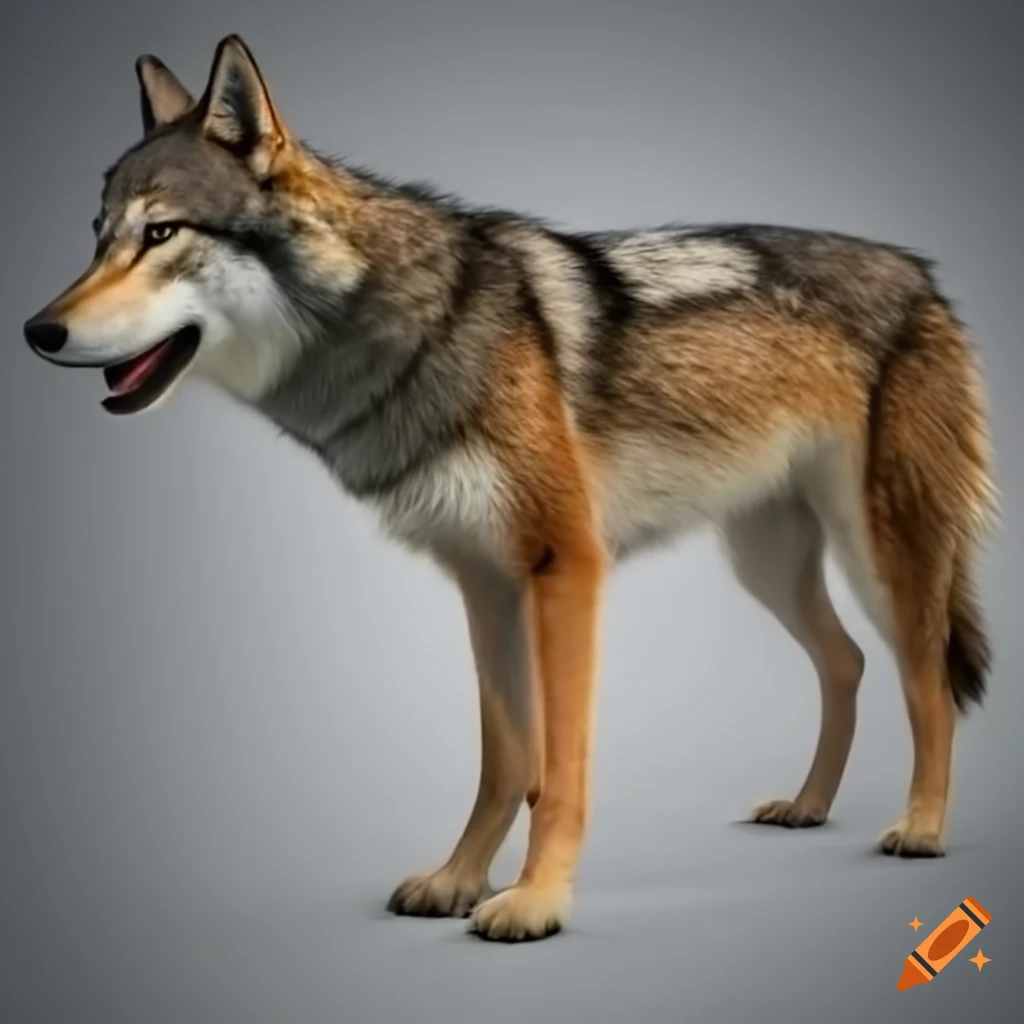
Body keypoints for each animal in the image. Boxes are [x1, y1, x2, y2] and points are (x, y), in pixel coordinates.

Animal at [24, 35, 996, 942]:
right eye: (97, 234)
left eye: (162, 234)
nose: (37, 331)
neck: (400, 331)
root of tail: (922, 274)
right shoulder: (485, 583)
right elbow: (504, 760)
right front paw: (459, 881)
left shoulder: (566, 567)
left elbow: (559, 768)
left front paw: (535, 902)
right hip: (767, 565)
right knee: (848, 661)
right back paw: (808, 807)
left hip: (884, 557)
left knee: (927, 682)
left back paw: (920, 827)